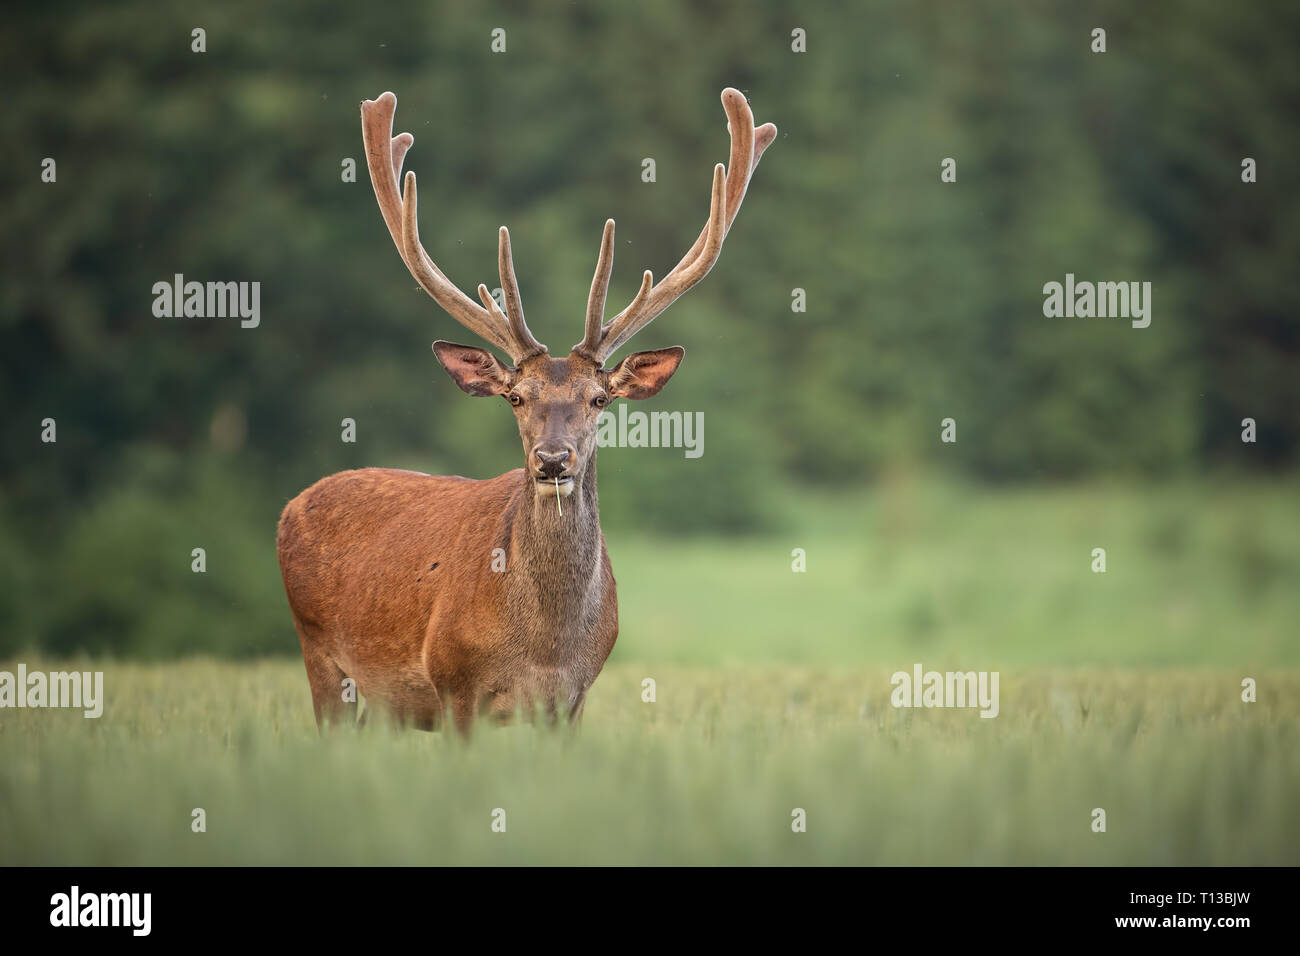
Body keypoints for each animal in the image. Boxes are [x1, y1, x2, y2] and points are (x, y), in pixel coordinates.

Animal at [276, 88, 775, 733]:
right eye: (515, 397)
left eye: (599, 399)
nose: (553, 460)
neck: (545, 646)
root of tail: (290, 506)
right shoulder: (453, 685)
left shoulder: (572, 700)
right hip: (318, 651)